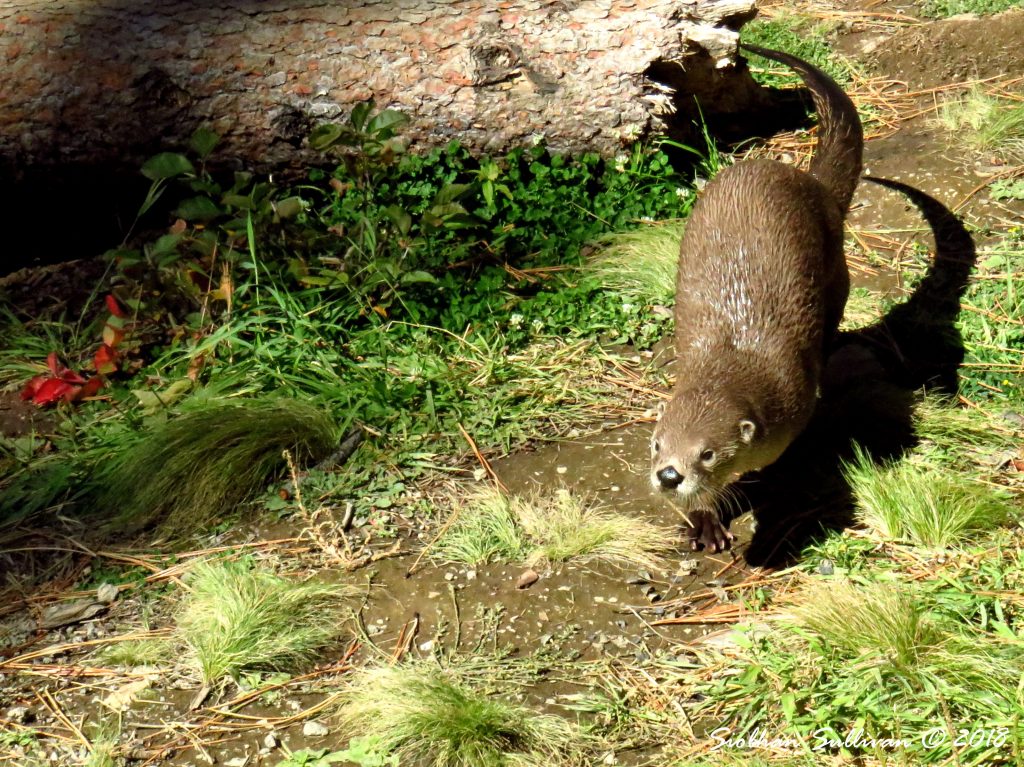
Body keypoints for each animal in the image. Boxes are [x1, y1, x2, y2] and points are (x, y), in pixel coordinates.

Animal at [651, 44, 864, 552]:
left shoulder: (797, 405)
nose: (669, 475)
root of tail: (812, 183)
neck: (733, 356)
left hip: (836, 272)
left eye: (707, 454)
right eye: (657, 444)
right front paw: (705, 522)